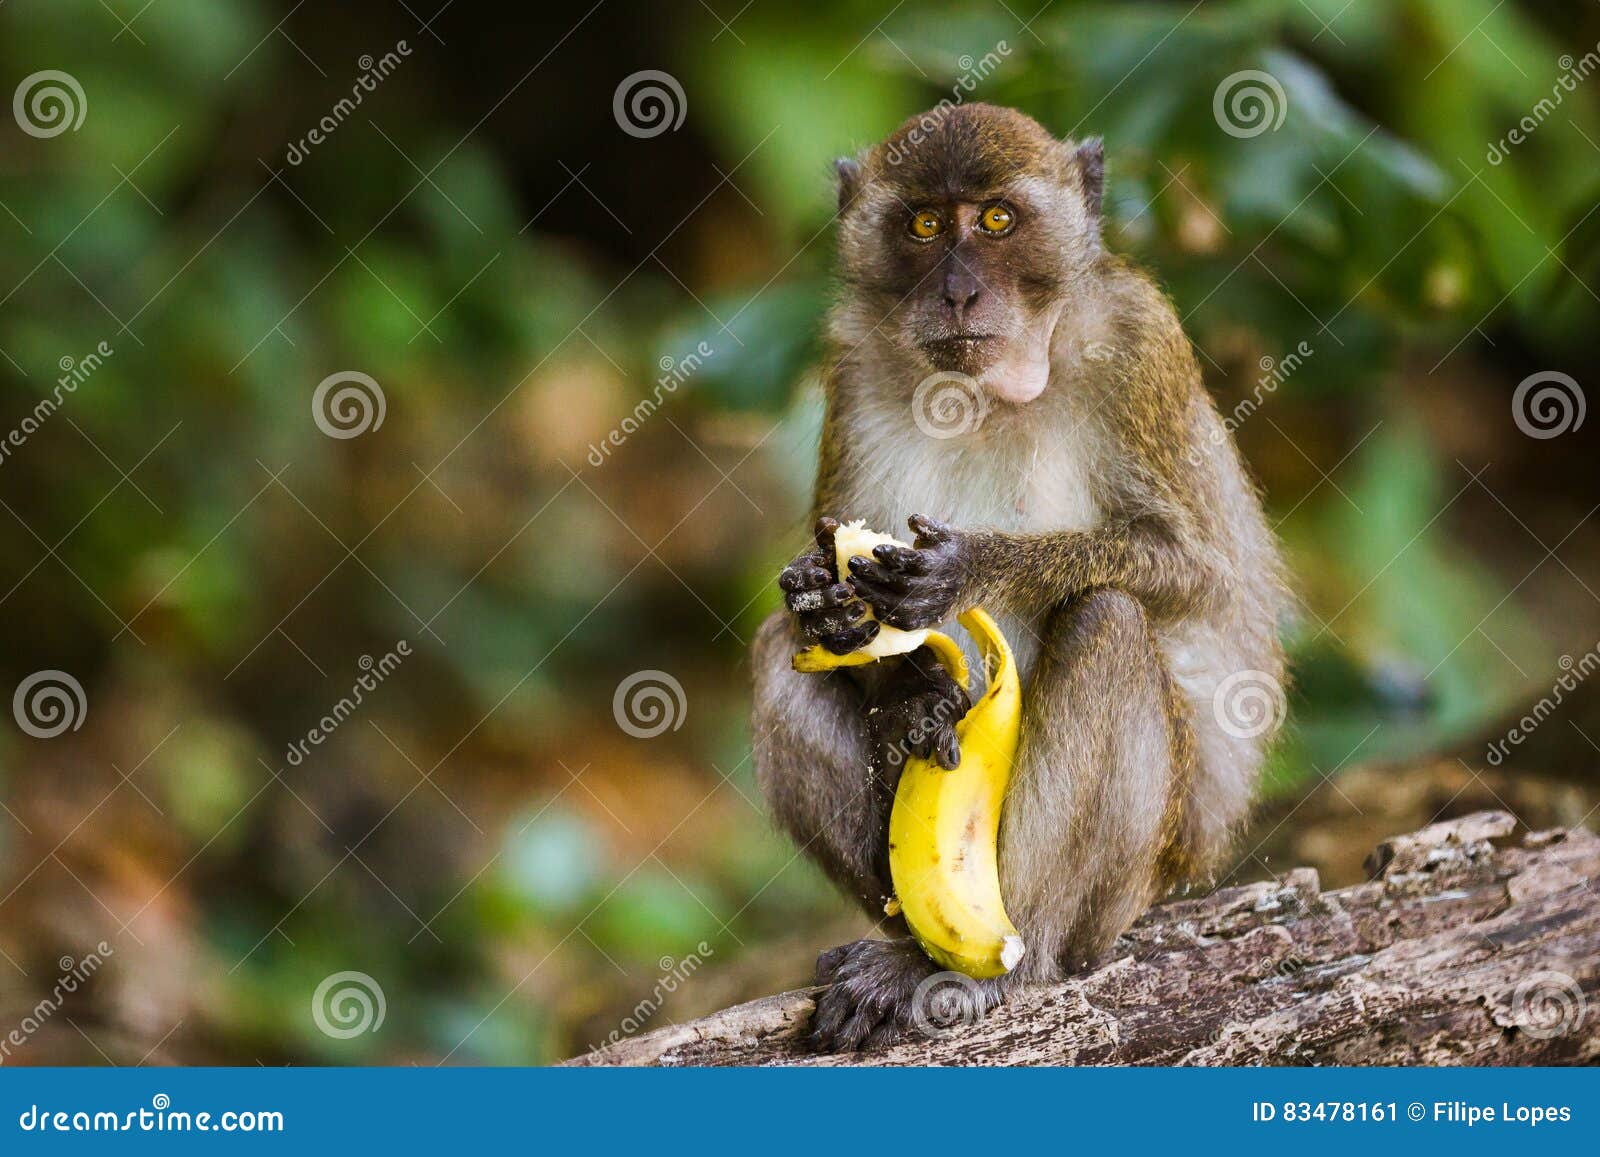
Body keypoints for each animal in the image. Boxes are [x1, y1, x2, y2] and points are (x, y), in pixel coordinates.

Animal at [748, 103, 1291, 1052]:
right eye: (927, 225)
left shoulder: (1138, 343)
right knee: (783, 654)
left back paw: (995, 965)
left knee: (1110, 621)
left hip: (1138, 875)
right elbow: (823, 611)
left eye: (997, 220)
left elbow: (1199, 570)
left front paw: (973, 567)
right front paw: (871, 646)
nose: (959, 292)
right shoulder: (851, 367)